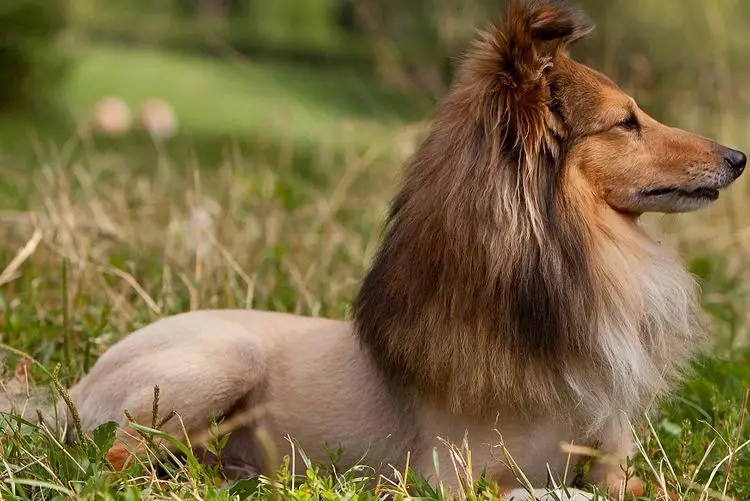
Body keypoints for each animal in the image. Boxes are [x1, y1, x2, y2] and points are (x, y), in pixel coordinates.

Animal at [2, 0, 748, 496]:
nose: (737, 157)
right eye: (626, 122)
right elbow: (545, 489)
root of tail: (76, 389)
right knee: (116, 458)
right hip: (218, 360)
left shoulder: (615, 462)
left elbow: (628, 484)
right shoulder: (454, 478)